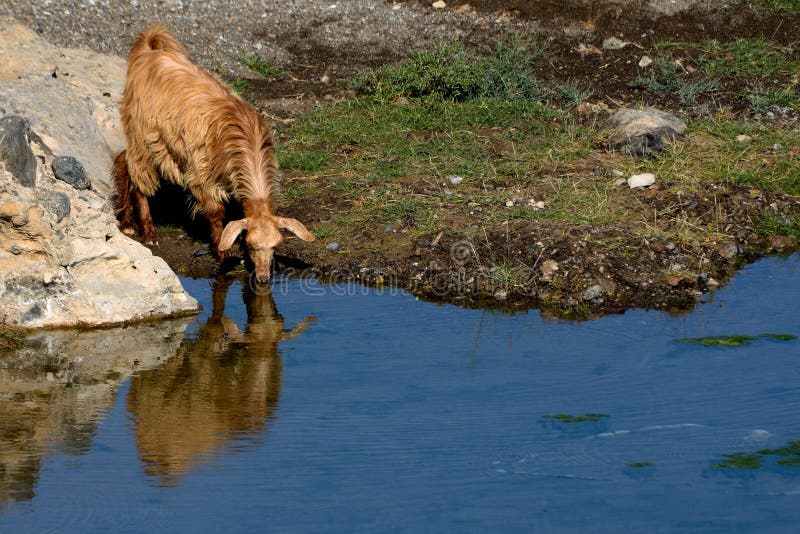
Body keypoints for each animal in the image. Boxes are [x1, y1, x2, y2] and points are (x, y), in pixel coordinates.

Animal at [114, 26, 314, 282]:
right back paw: (149, 233)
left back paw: (127, 222)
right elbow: (216, 211)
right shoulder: (201, 171)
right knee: (140, 177)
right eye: (252, 245)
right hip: (145, 136)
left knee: (123, 159)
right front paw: (221, 251)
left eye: (276, 245)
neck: (244, 136)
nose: (263, 277)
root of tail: (149, 50)